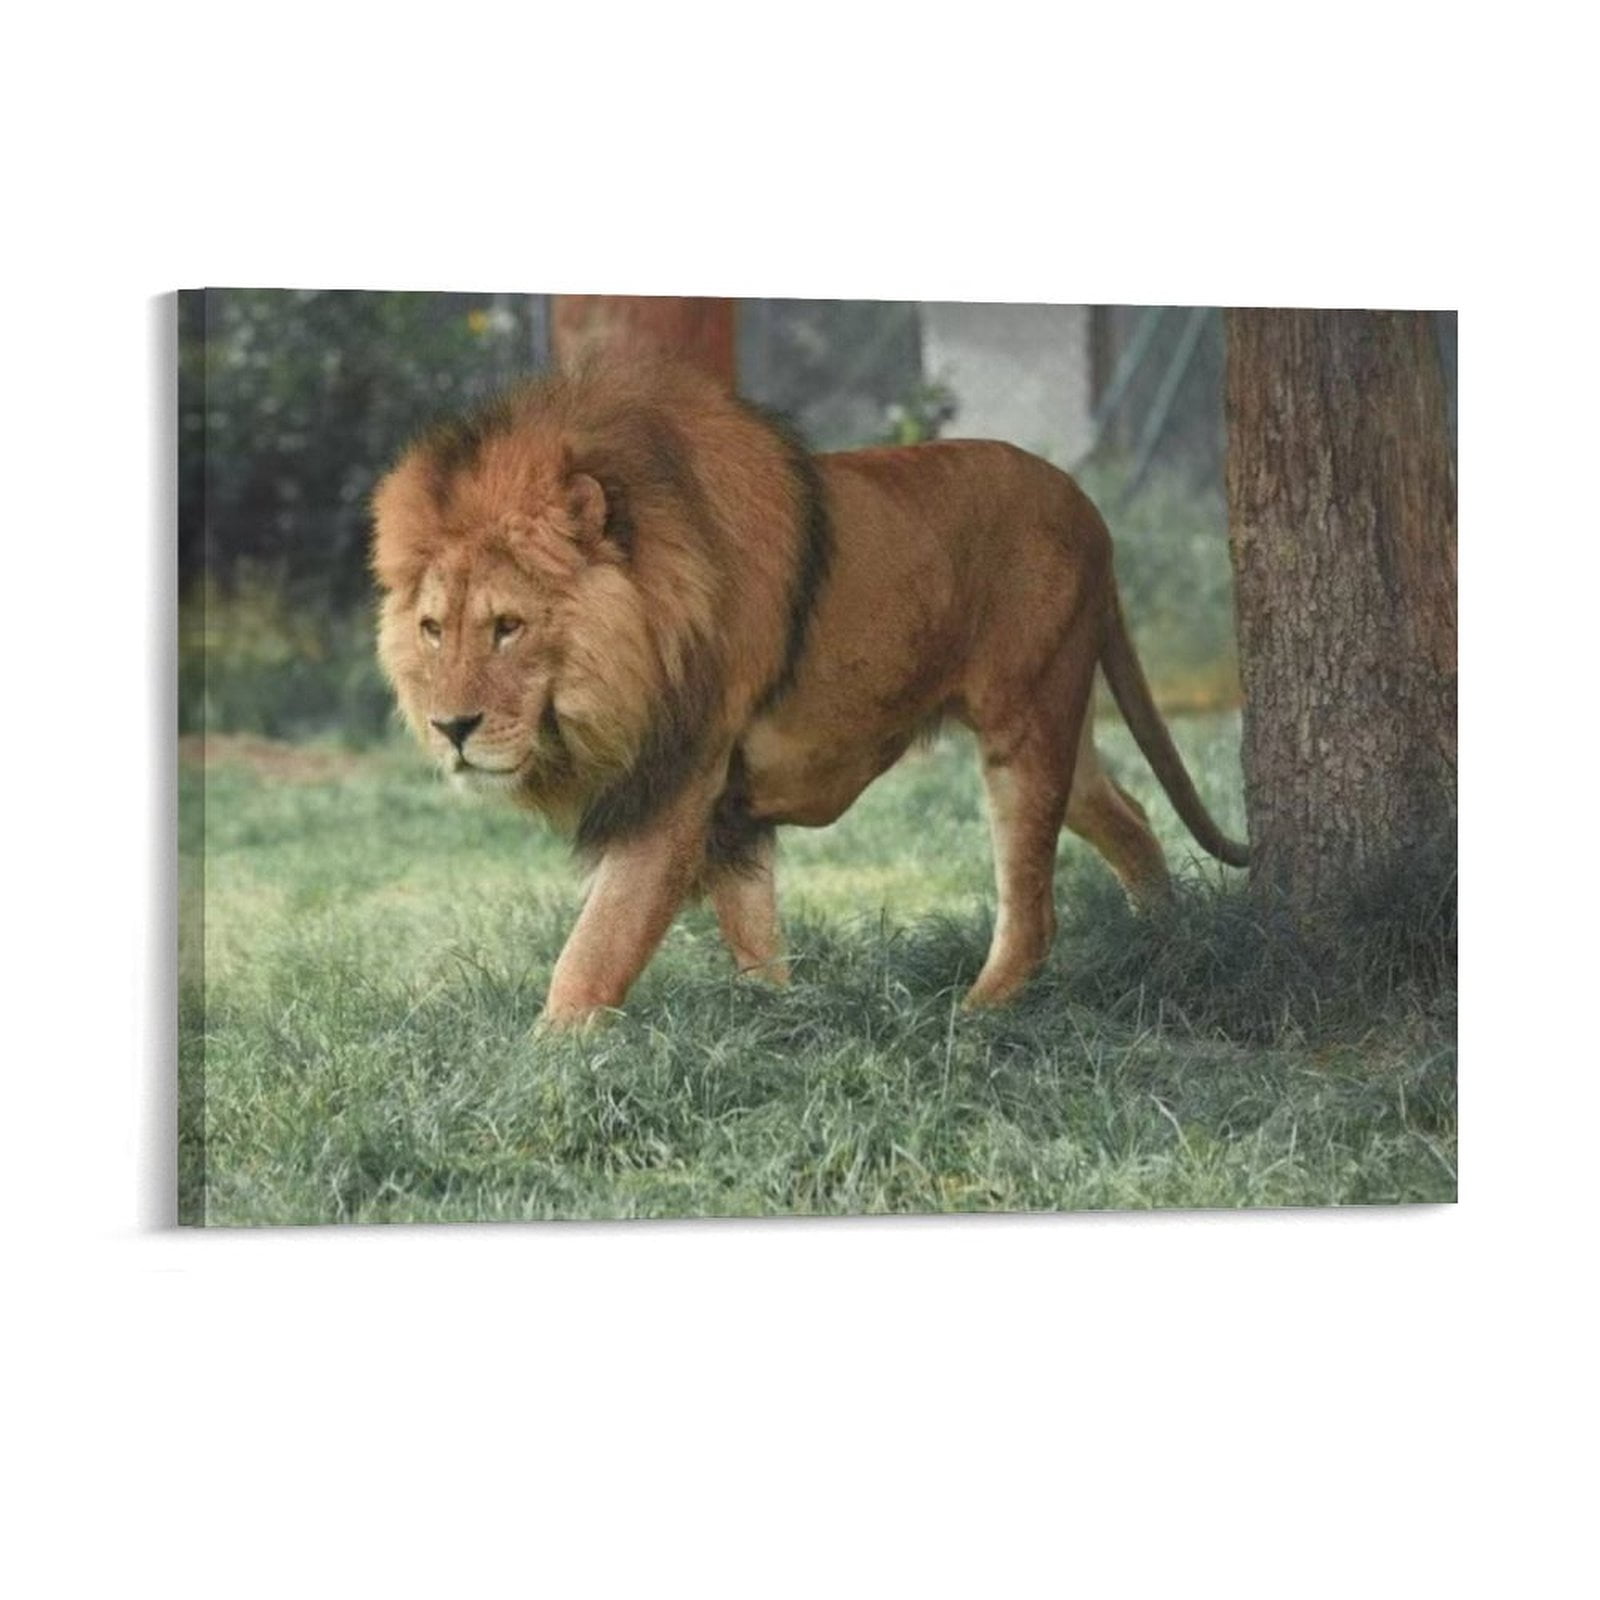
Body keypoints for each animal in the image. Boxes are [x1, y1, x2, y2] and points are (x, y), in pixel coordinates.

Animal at [371, 358, 1247, 1027]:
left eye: (508, 627)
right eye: (432, 629)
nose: (451, 728)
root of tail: (1090, 510)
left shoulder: (679, 783)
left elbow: (599, 944)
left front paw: (545, 1061)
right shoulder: (726, 804)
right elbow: (754, 931)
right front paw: (780, 1022)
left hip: (1024, 720)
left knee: (1034, 909)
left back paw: (971, 1019)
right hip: (1060, 716)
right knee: (1126, 813)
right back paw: (1167, 943)